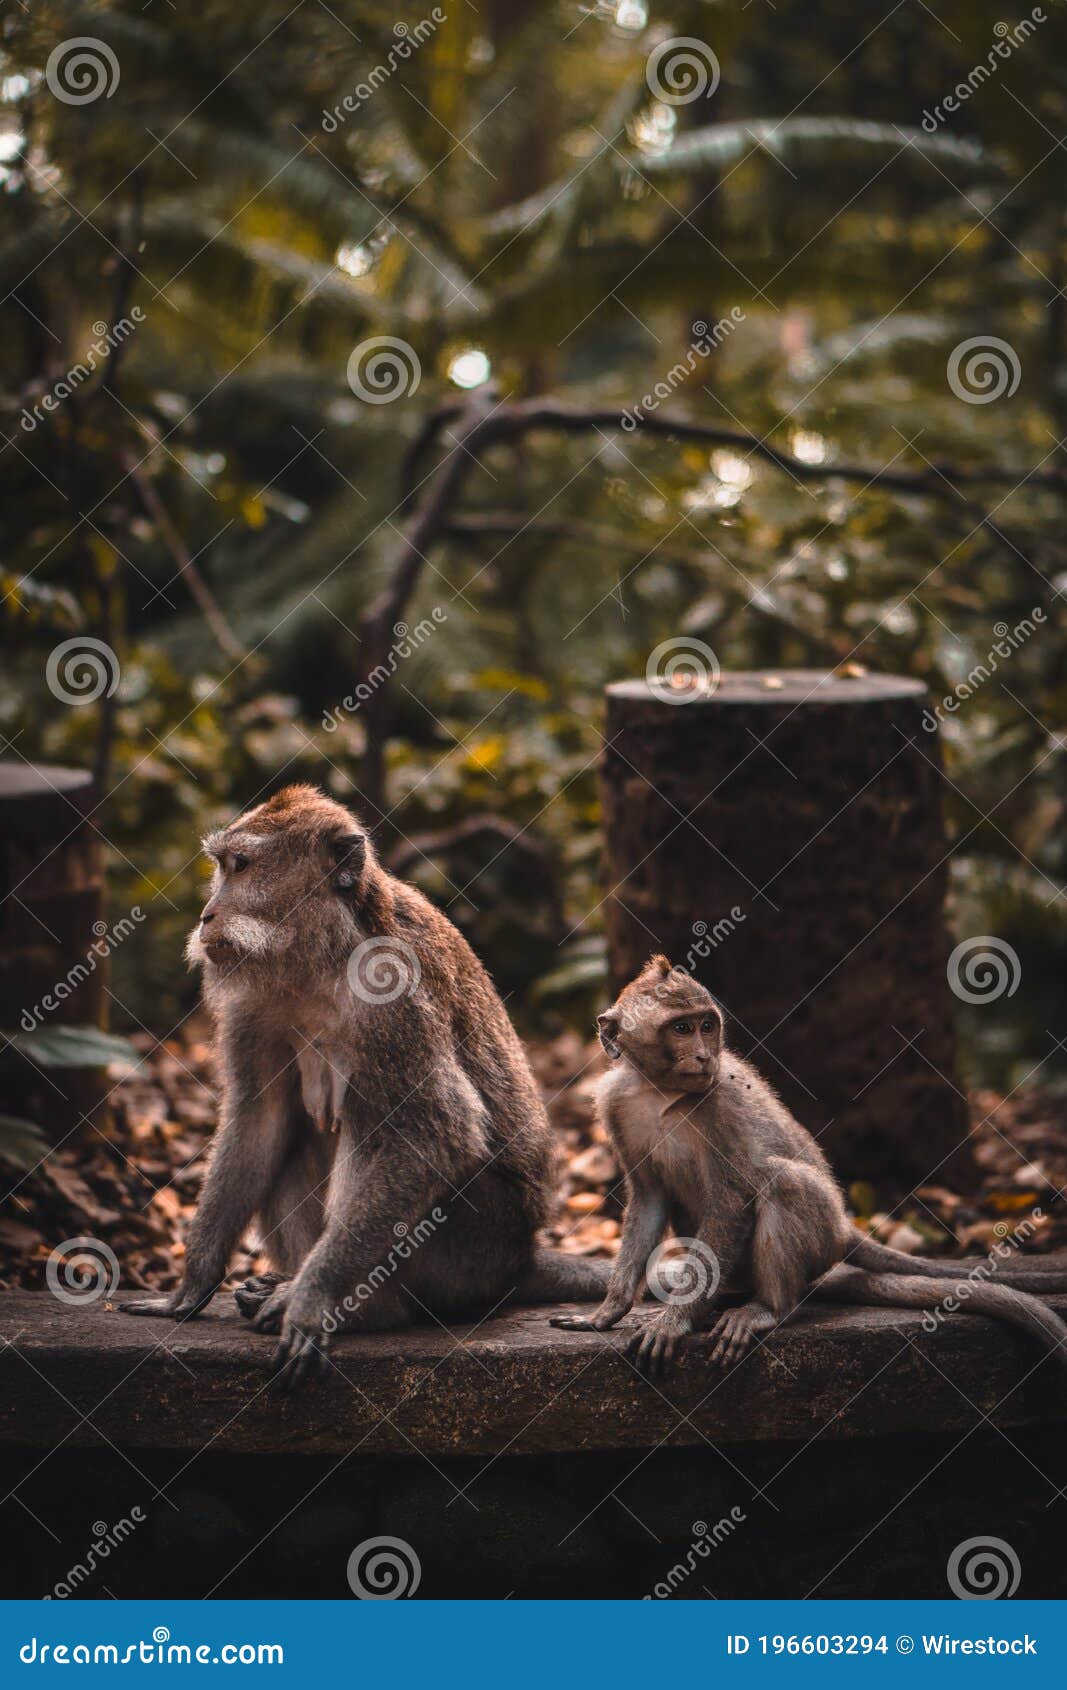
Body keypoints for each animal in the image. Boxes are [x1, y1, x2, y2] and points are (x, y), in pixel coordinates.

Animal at [120, 784, 608, 1385]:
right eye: (224, 866)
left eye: (241, 866)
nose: (208, 913)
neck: (325, 953)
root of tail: (520, 1260)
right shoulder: (251, 1006)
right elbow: (259, 1118)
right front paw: (191, 1285)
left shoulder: (395, 1001)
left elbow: (433, 1135)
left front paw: (311, 1299)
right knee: (296, 1139)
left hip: (477, 1245)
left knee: (375, 1127)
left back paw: (364, 1309)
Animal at [552, 956, 1067, 1379]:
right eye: (681, 1029)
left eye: (706, 1026)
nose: (703, 1055)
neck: (658, 1091)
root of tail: (844, 1224)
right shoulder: (614, 1104)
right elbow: (649, 1199)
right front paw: (609, 1311)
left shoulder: (720, 1100)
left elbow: (732, 1201)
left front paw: (675, 1321)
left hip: (820, 1236)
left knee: (785, 1183)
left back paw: (768, 1308)